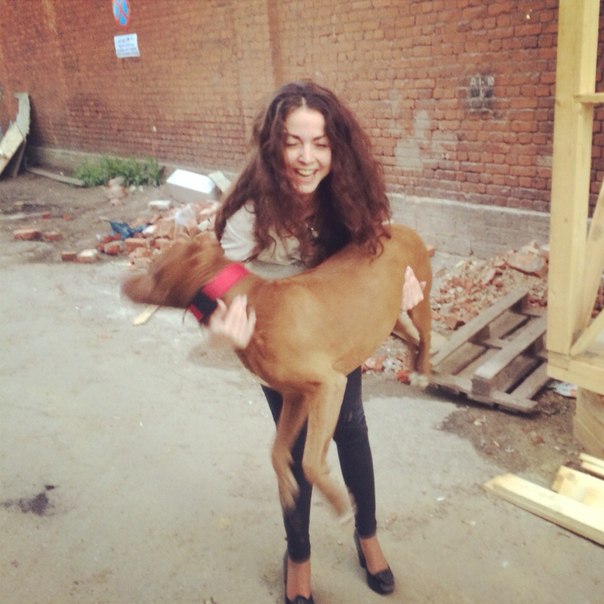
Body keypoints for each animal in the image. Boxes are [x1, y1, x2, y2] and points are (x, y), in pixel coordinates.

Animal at [122, 223, 432, 520]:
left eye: (155, 270)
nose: (123, 283)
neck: (255, 303)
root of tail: (400, 227)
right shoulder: (296, 397)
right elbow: (277, 451)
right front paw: (287, 488)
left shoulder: (329, 385)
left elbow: (310, 461)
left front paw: (339, 503)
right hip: (389, 315)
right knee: (411, 338)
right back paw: (414, 364)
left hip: (419, 297)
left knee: (425, 335)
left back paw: (424, 371)